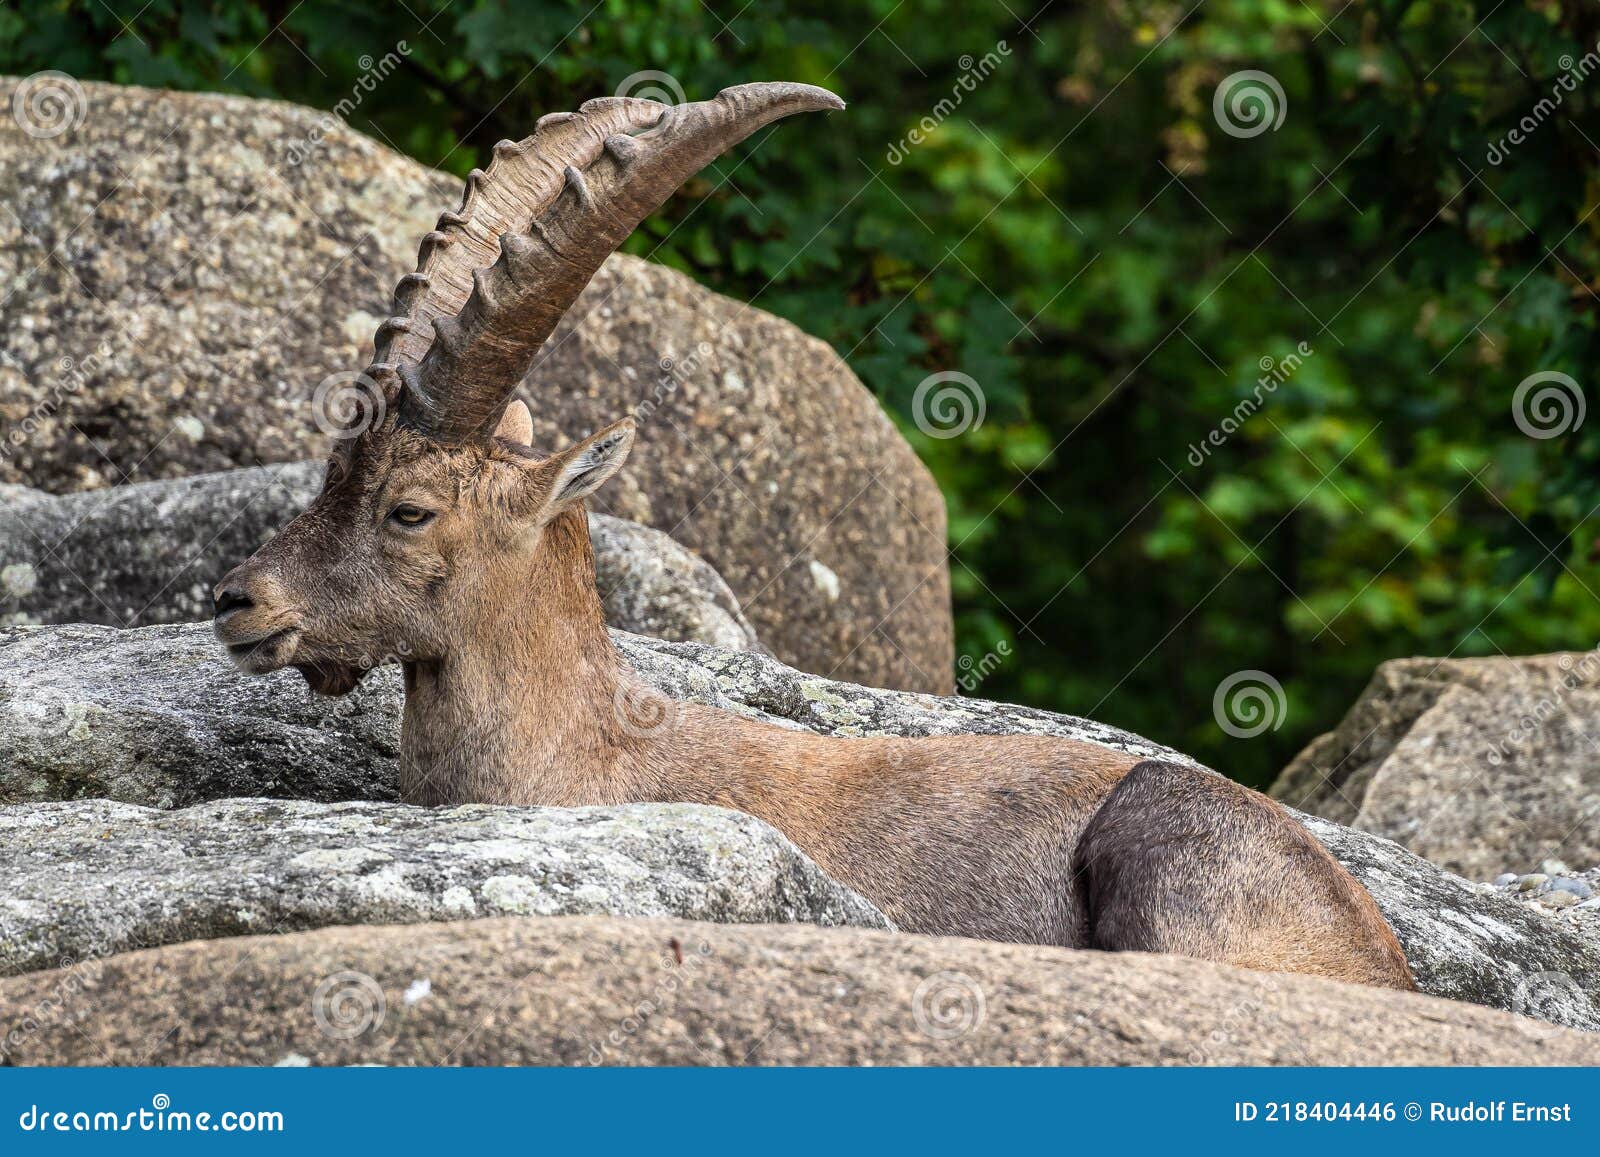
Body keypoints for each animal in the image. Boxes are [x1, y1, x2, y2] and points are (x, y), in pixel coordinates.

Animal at [213, 82, 1414, 990]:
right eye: (331, 471)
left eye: (410, 508)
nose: (238, 600)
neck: (591, 750)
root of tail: (1374, 949)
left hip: (1164, 834)